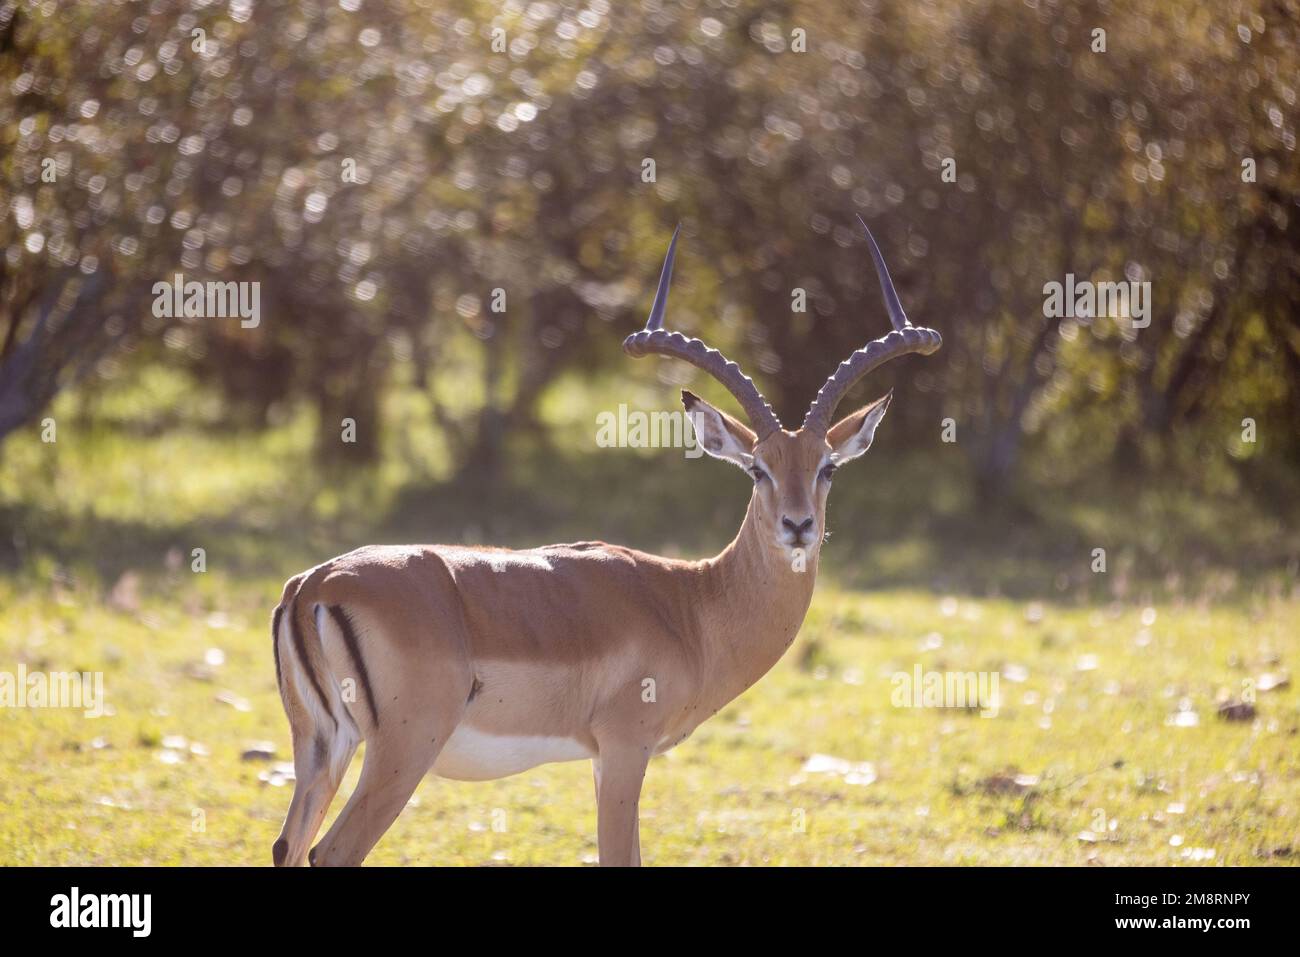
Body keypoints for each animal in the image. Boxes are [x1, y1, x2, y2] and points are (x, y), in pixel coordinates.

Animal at [270, 217, 942, 866]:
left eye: (827, 467)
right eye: (758, 469)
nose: (798, 526)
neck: (692, 607)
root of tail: (313, 584)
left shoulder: (602, 758)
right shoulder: (624, 749)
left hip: (323, 749)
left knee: (288, 845)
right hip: (403, 751)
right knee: (332, 852)